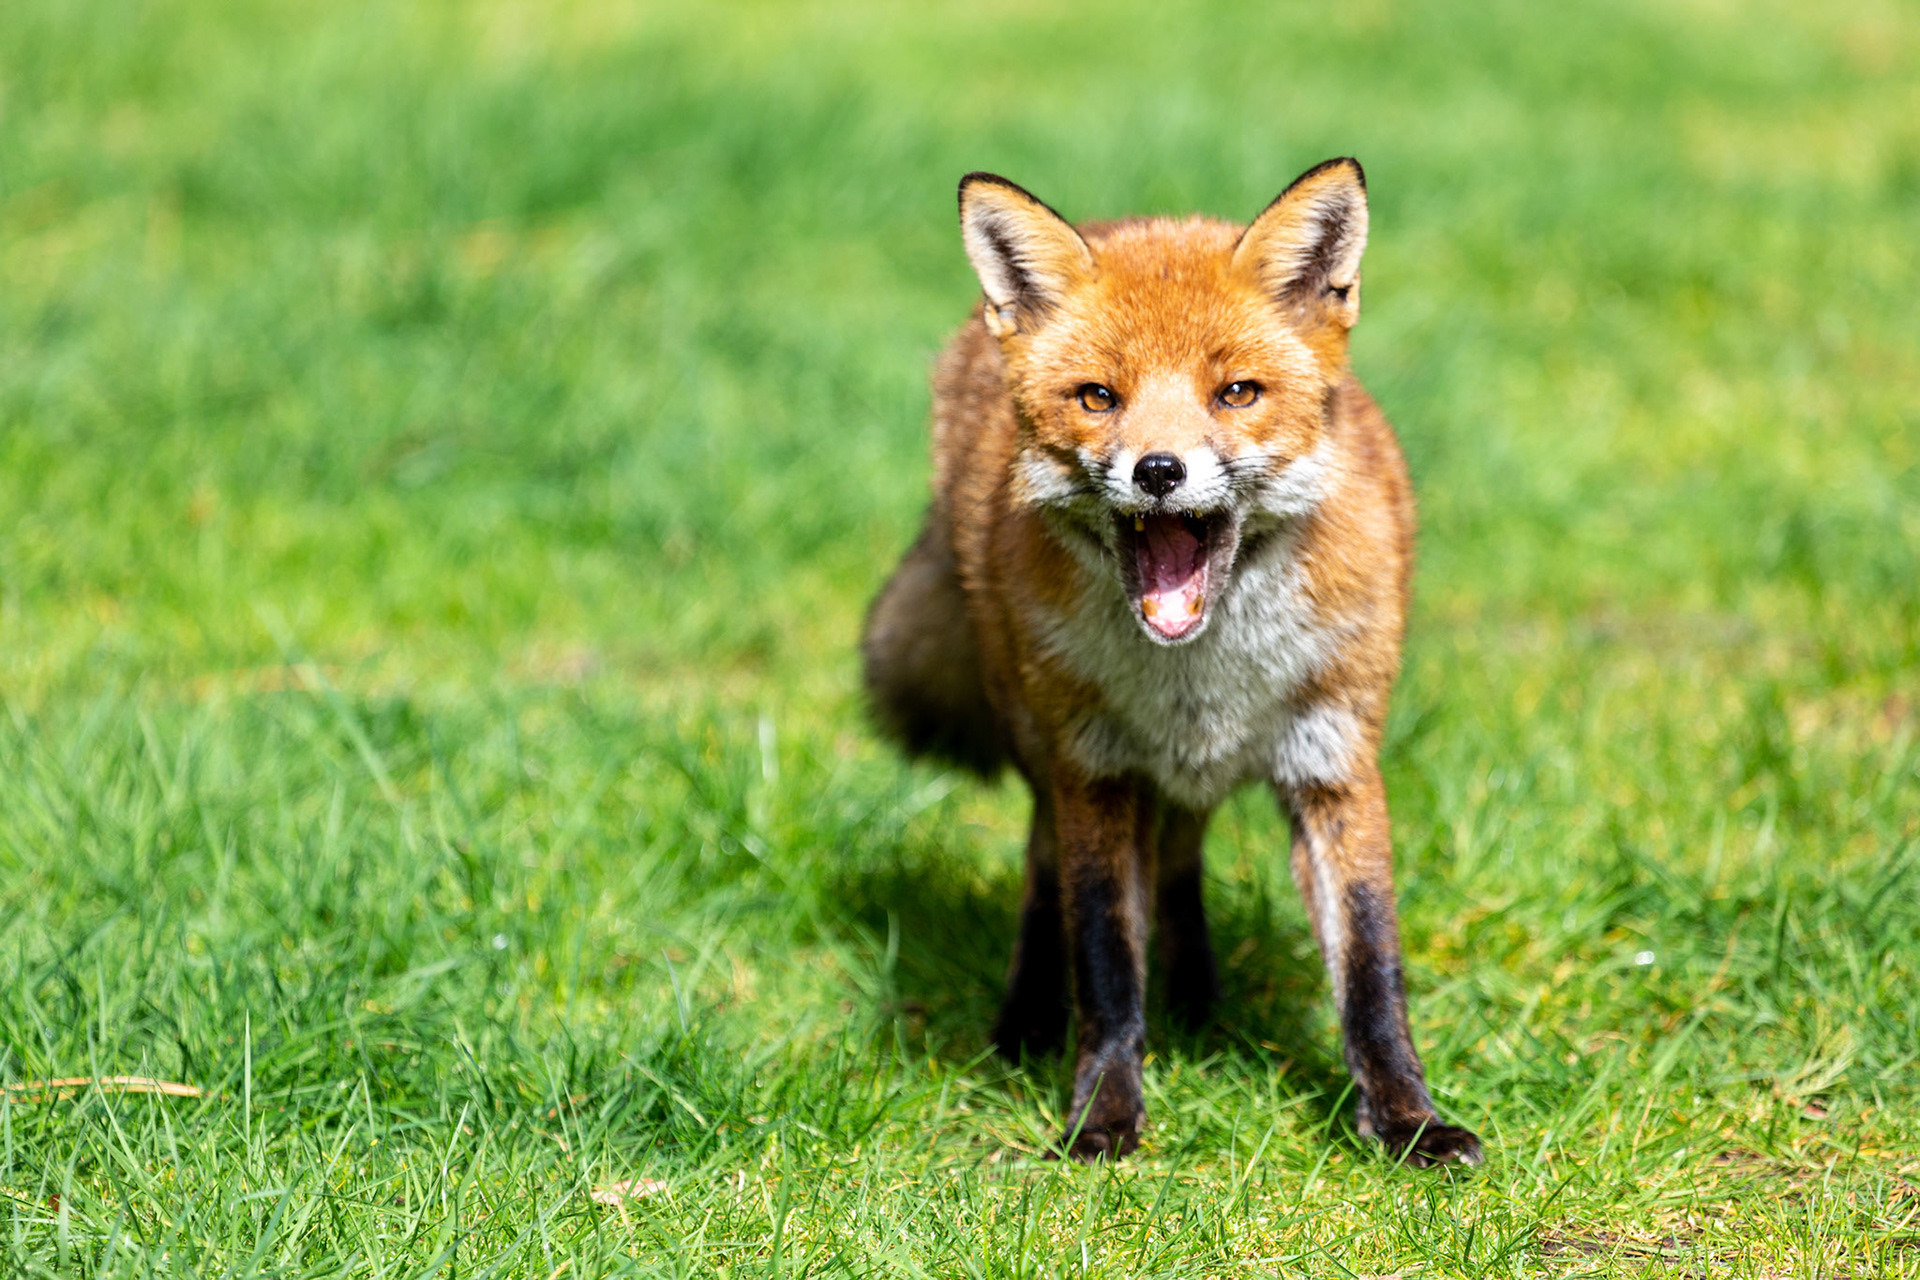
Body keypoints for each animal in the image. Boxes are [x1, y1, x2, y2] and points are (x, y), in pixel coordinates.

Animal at [861, 159, 1481, 1165]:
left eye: (1235, 393)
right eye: (1097, 397)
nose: (1158, 471)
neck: (1203, 676)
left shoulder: (1334, 762)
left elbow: (1371, 969)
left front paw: (1407, 1123)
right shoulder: (1096, 771)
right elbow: (1108, 962)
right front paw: (1103, 1118)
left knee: (1183, 853)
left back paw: (1197, 1001)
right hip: (1038, 742)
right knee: (1045, 874)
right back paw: (1027, 1022)